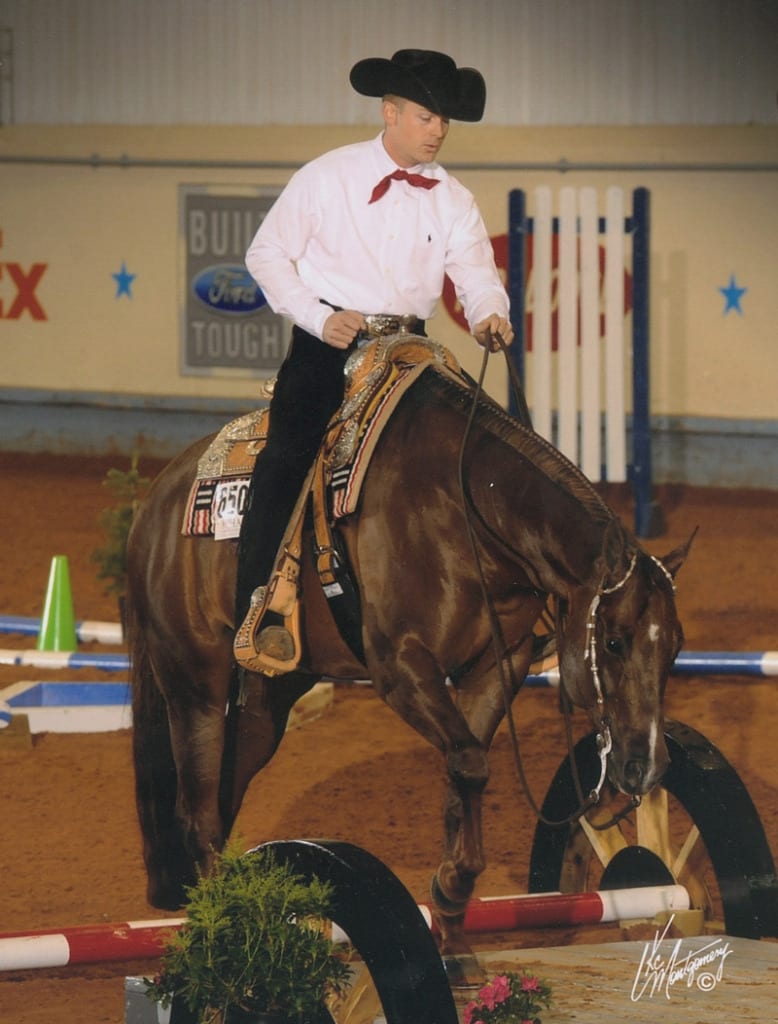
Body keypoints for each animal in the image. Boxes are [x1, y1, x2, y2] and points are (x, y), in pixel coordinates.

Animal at [127, 355, 691, 964]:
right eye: (613, 641)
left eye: (676, 646)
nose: (647, 767)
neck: (462, 507)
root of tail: (153, 510)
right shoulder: (400, 668)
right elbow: (468, 763)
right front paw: (450, 896)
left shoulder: (498, 665)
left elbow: (464, 771)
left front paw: (452, 924)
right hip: (196, 690)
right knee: (198, 818)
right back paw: (225, 932)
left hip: (262, 706)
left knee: (223, 800)